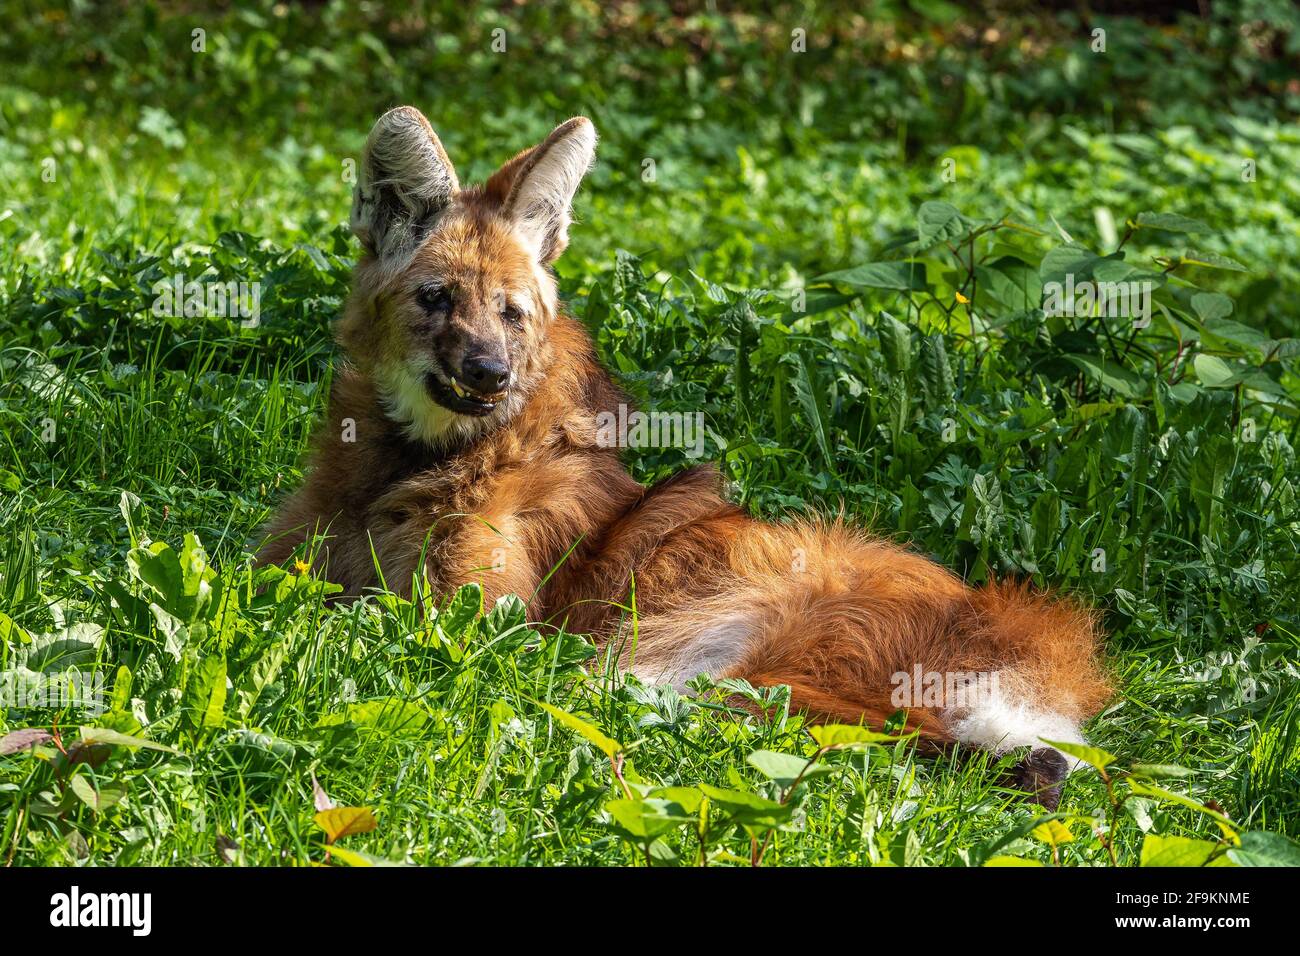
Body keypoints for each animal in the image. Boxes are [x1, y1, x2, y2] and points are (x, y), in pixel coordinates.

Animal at [258, 107, 1112, 807]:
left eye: (511, 312)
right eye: (437, 298)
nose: (491, 374)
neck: (407, 464)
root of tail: (1029, 634)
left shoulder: (477, 622)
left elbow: (365, 626)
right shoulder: (293, 558)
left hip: (752, 653)